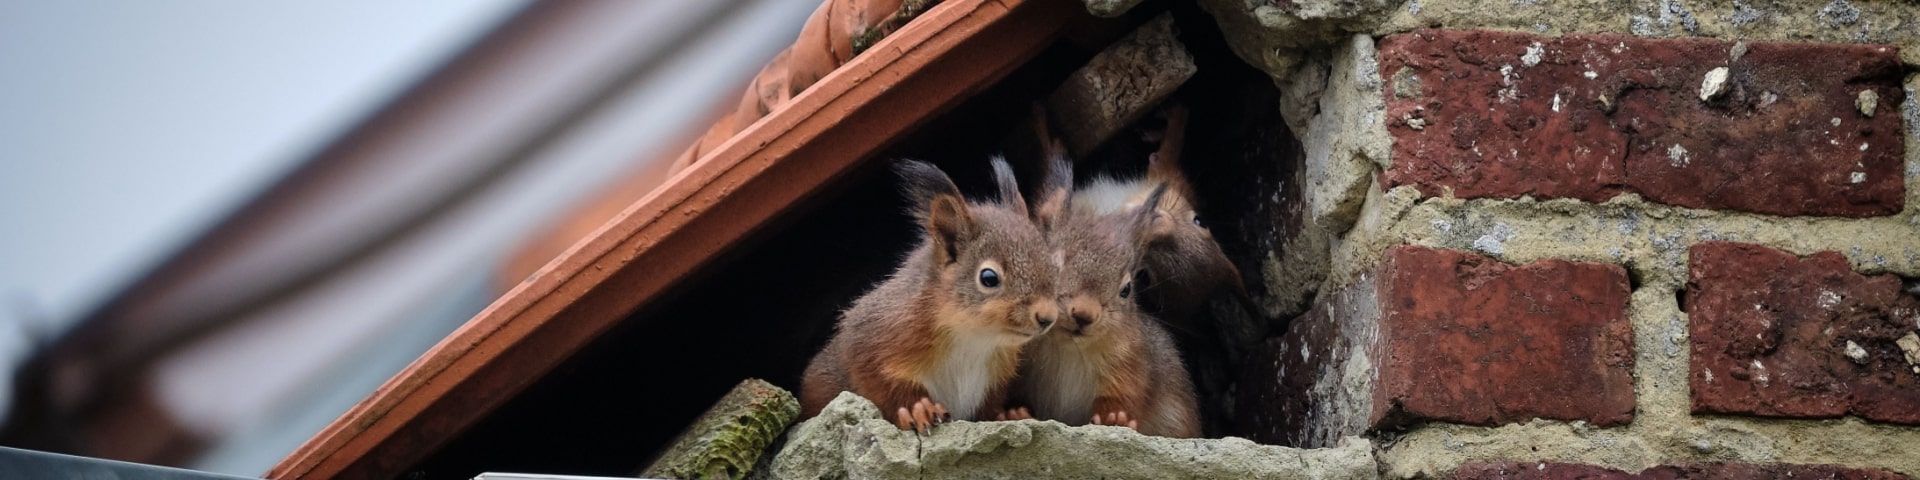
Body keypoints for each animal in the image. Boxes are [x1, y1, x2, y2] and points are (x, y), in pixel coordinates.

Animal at [800, 158, 1063, 433]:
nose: (1047, 317)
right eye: (989, 278)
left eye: (1053, 265)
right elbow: (877, 381)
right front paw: (918, 408)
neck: (974, 338)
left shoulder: (996, 377)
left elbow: (988, 409)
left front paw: (1008, 414)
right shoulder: (873, 336)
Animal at [1011, 156, 1202, 438]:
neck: (1069, 348)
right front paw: (1012, 412)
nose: (1084, 315)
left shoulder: (1130, 359)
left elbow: (1127, 392)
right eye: (1051, 263)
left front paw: (1114, 417)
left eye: (1127, 289)